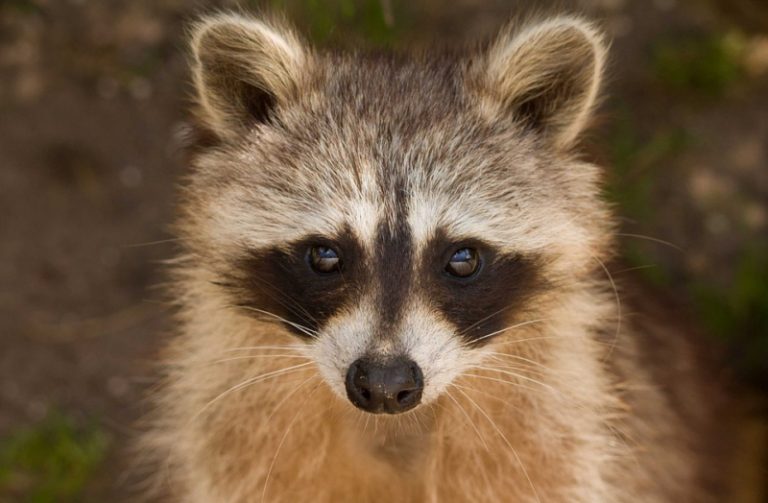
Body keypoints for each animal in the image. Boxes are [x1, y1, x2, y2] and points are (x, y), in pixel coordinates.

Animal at [144, 13, 733, 502]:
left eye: (463, 259)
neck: (393, 429)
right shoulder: (235, 432)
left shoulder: (560, 440)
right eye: (326, 255)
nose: (384, 386)